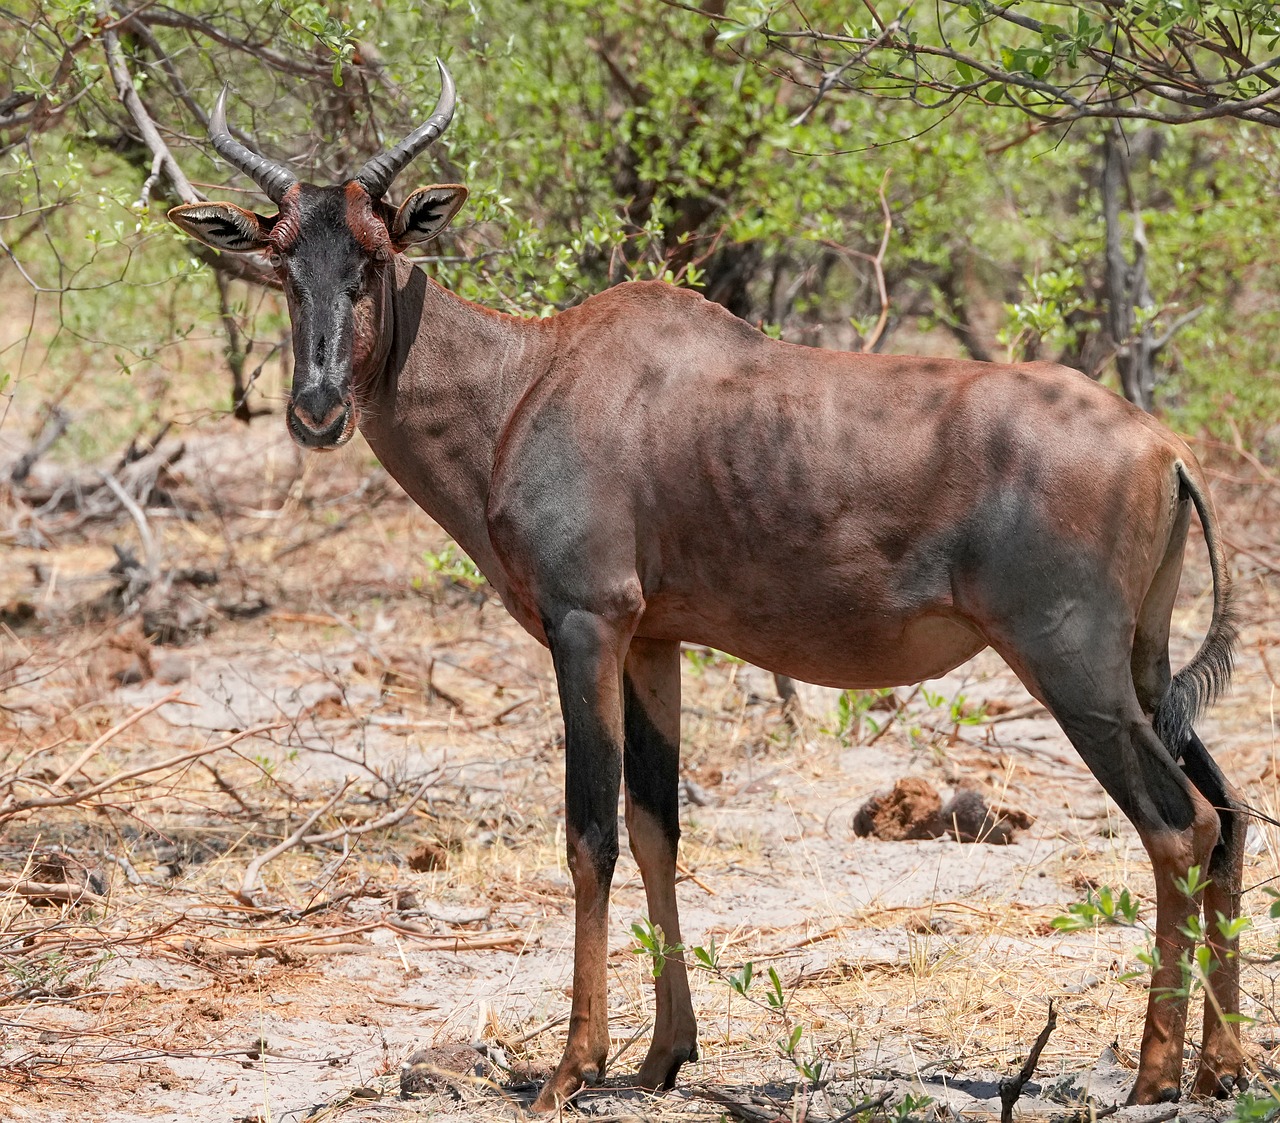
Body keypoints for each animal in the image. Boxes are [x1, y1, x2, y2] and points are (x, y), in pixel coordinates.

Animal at [169, 61, 1247, 1110]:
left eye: (373, 256)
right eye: (280, 262)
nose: (316, 411)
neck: (534, 376)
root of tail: (1162, 447)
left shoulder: (587, 625)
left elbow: (589, 832)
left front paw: (570, 1069)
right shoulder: (655, 640)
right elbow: (658, 829)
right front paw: (662, 1057)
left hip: (1068, 666)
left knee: (1177, 823)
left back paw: (1153, 1076)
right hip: (1141, 668)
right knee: (1228, 815)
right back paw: (1221, 1069)